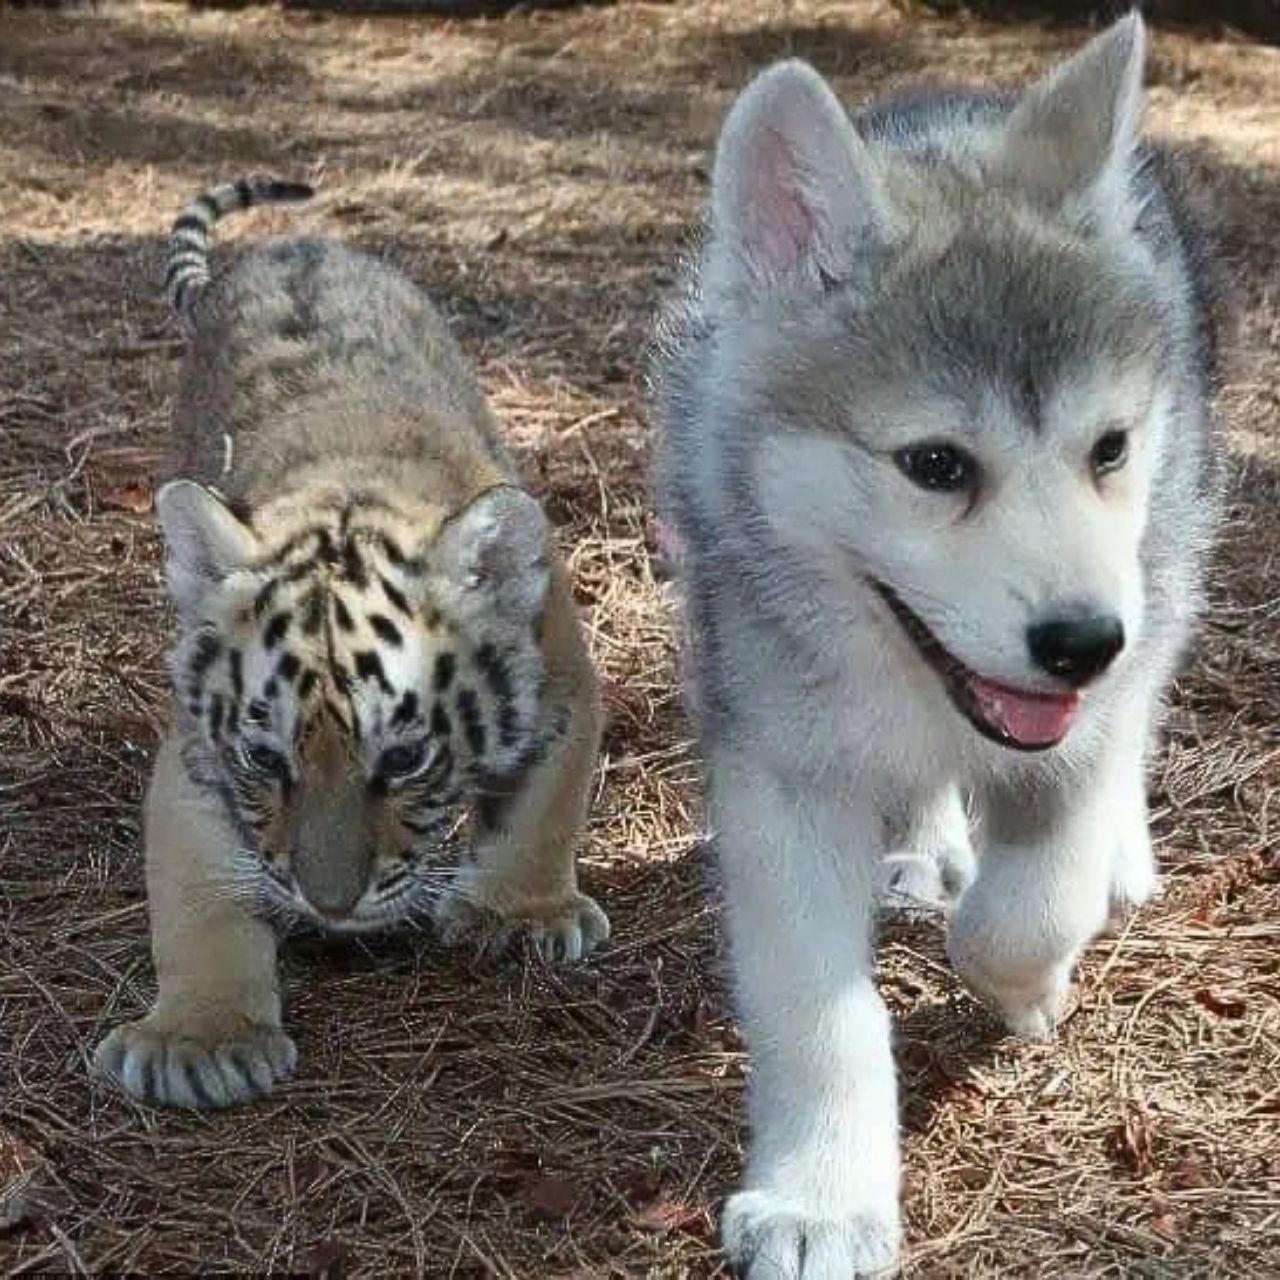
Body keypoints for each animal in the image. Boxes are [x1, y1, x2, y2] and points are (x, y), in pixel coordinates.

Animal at [94, 178, 610, 1109]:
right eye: (265, 761)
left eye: (404, 759)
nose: (330, 906)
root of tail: (288, 243)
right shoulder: (198, 758)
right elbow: (197, 895)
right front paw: (201, 1039)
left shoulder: (561, 685)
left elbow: (546, 810)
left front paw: (519, 914)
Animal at [653, 14, 1219, 1276]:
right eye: (932, 465)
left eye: (1106, 446)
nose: (1079, 644)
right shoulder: (779, 768)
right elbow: (815, 1011)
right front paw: (820, 1200)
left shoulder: (1081, 721)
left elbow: (1026, 905)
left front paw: (1028, 985)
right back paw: (922, 845)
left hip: (1168, 562)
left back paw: (1116, 856)